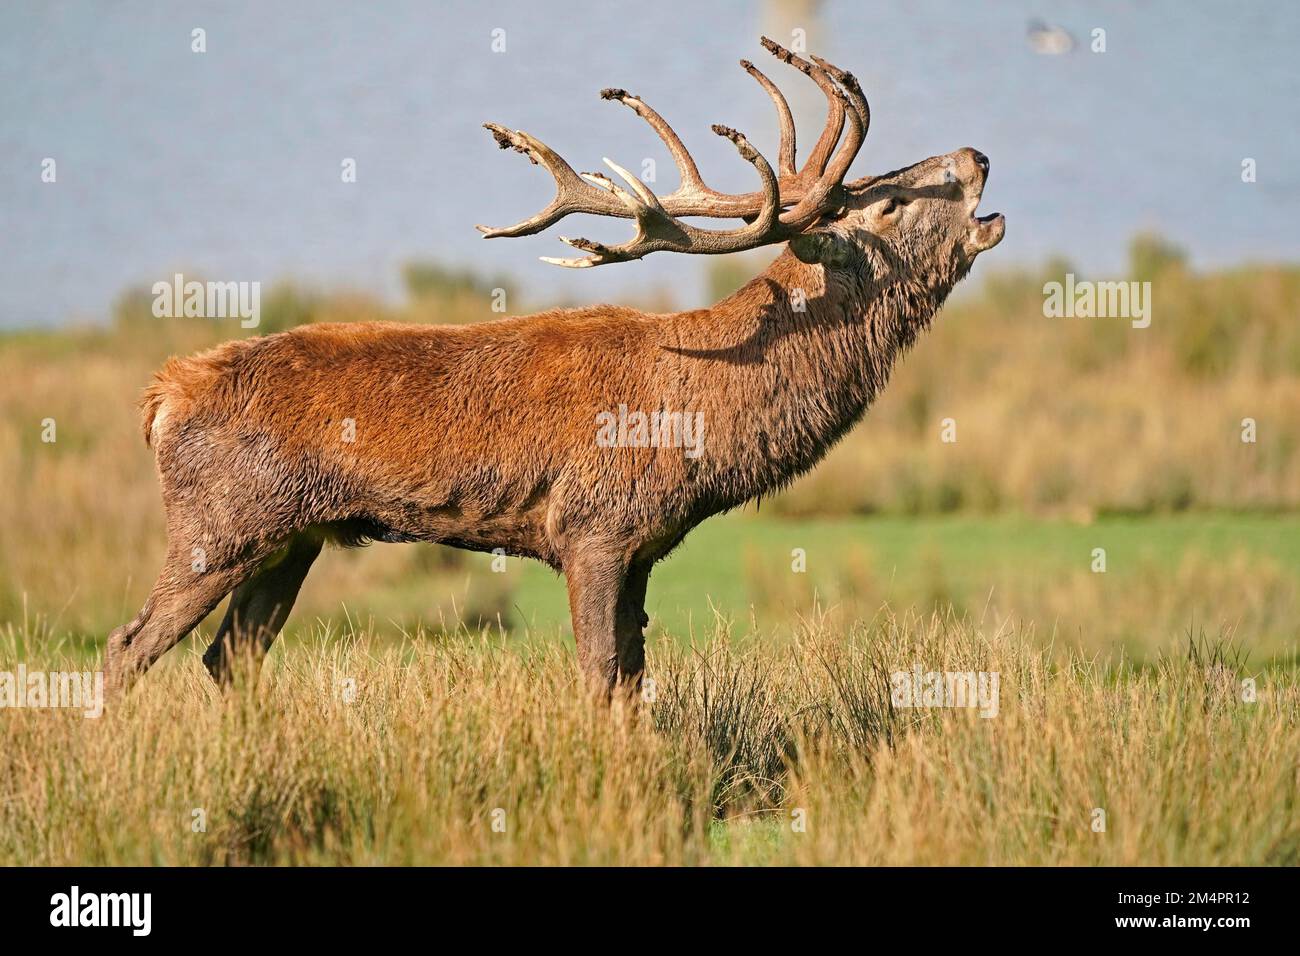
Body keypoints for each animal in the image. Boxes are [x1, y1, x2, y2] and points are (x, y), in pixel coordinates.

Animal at [103, 37, 1004, 701]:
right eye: (888, 200)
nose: (977, 154)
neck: (701, 418)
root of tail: (160, 396)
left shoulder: (644, 547)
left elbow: (633, 679)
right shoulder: (593, 525)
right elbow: (599, 675)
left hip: (291, 538)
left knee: (229, 658)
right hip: (219, 523)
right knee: (126, 646)